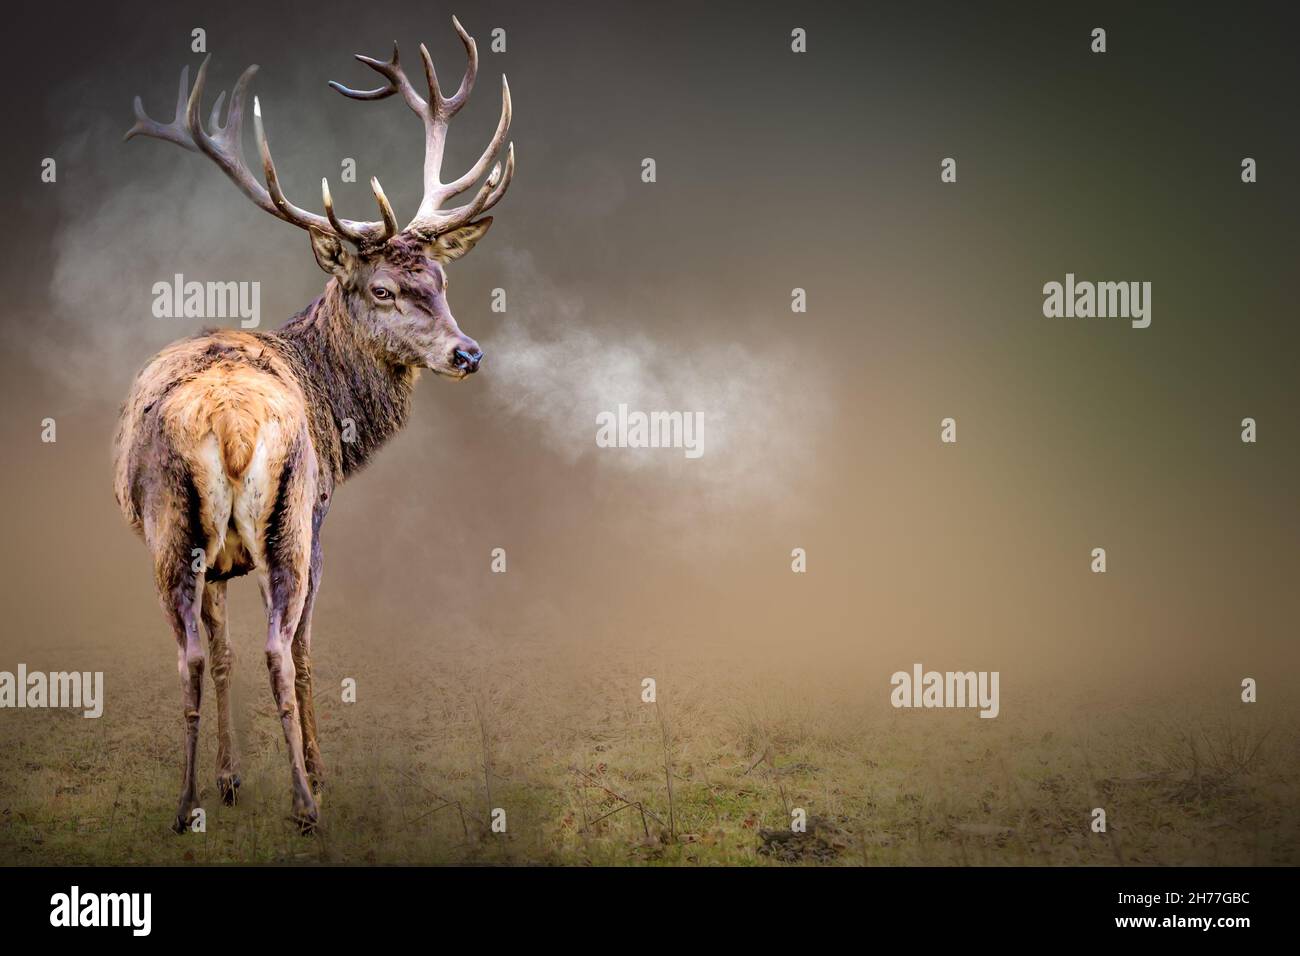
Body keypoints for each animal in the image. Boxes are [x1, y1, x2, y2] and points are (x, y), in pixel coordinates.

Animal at [112, 17, 513, 834]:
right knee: (279, 644)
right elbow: (300, 648)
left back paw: (187, 802)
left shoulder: (216, 560)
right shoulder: (322, 513)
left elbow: (222, 652)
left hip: (173, 532)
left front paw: (231, 779)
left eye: (440, 279)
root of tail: (230, 424)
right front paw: (318, 772)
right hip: (290, 521)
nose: (467, 352)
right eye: (383, 289)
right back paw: (305, 800)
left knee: (191, 653)